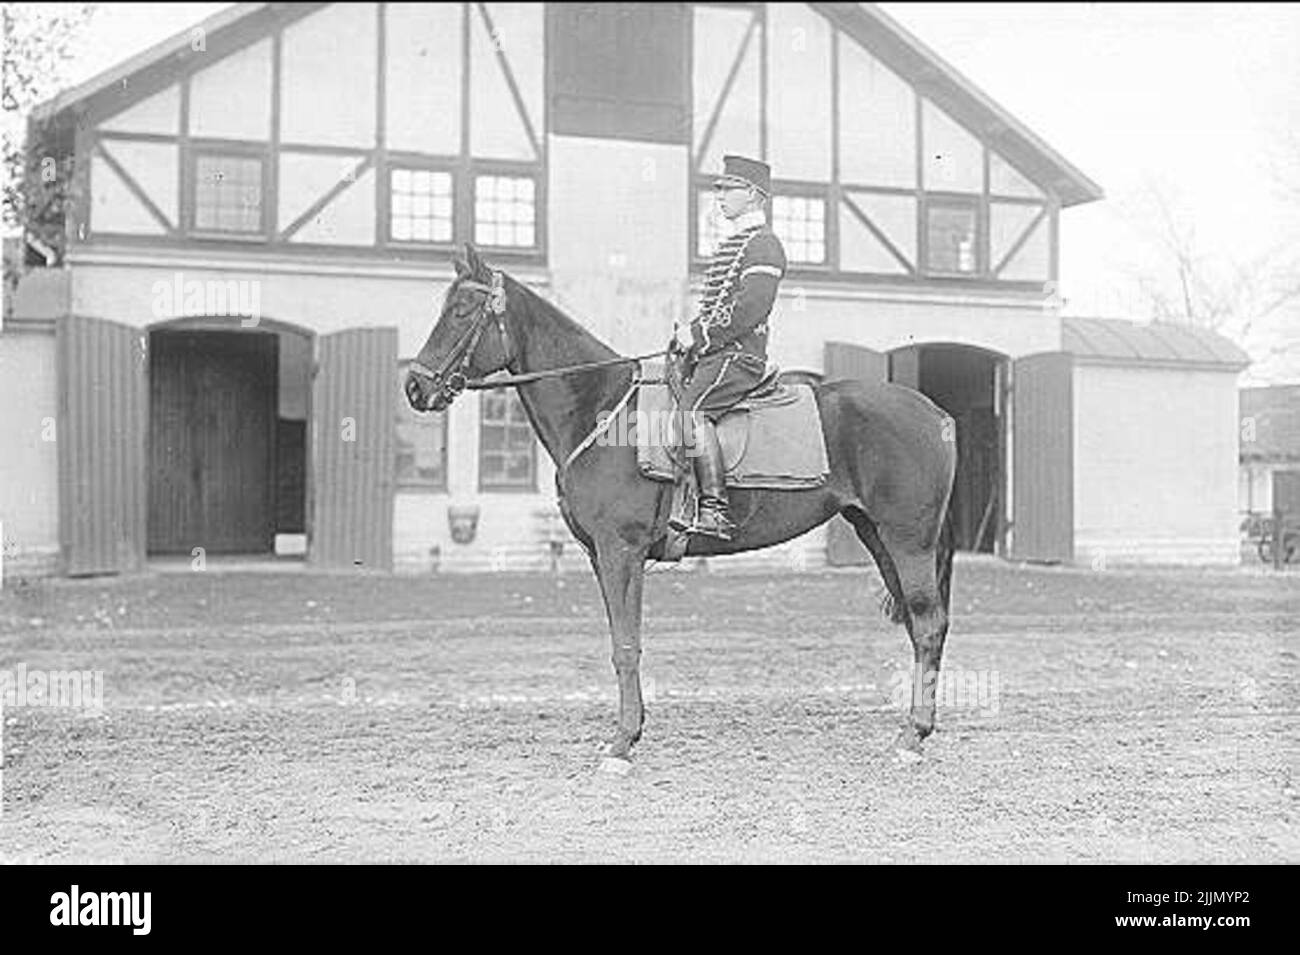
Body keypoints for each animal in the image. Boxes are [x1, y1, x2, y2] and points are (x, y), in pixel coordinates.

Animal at [406, 243, 958, 766]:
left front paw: (623, 742)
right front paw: (631, 730)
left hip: (908, 541)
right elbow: (621, 639)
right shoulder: (602, 557)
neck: (600, 411)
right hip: (878, 536)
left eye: (461, 311)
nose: (415, 387)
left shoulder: (621, 552)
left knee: (929, 624)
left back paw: (913, 735)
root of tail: (935, 414)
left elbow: (626, 646)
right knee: (919, 626)